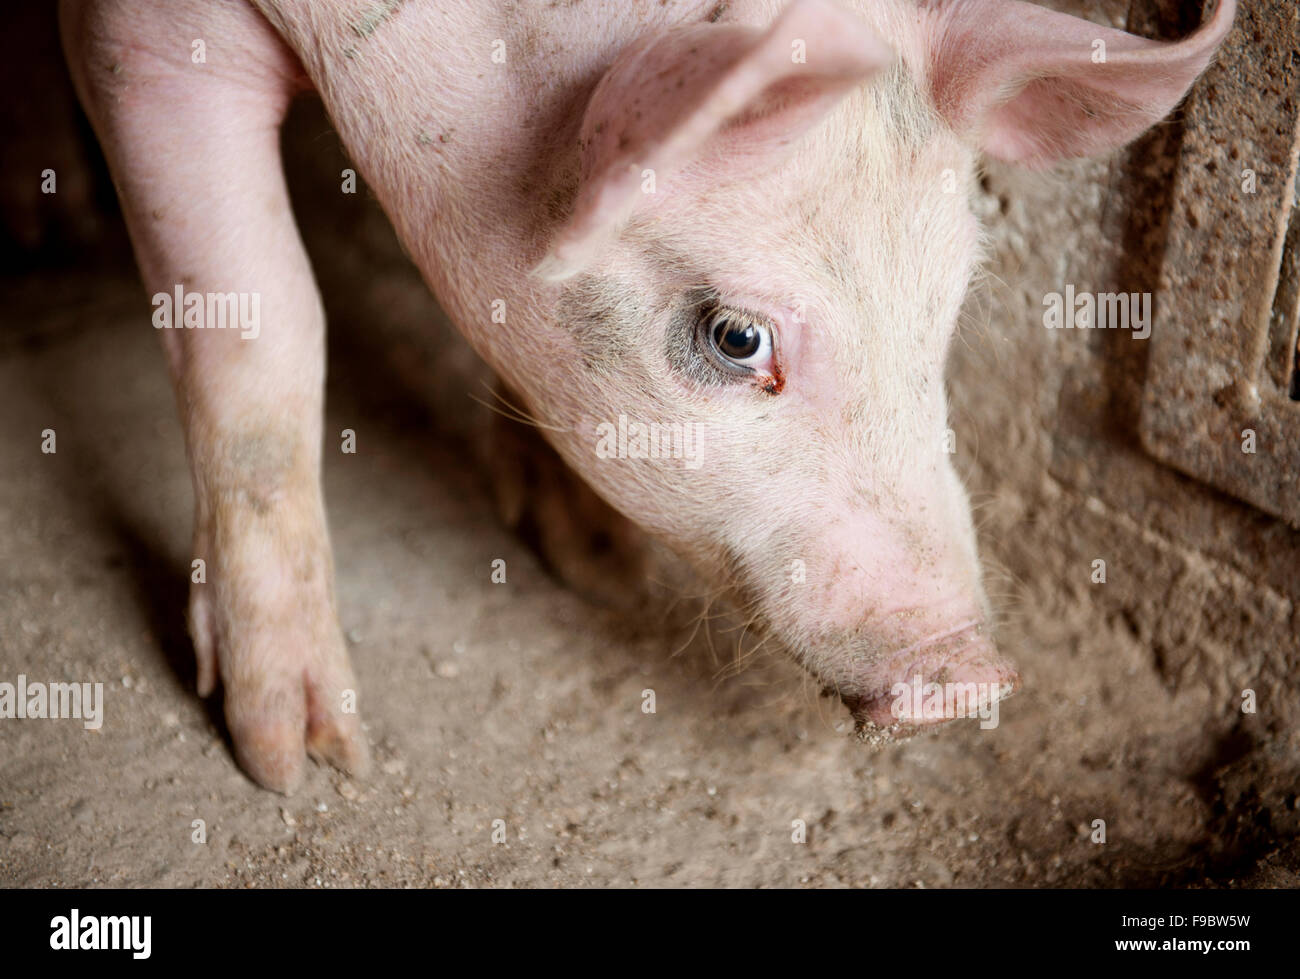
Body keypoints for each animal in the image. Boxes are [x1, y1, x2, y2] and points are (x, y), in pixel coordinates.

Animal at [58, 0, 1236, 792]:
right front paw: (303, 760)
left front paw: (596, 568)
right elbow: (260, 325)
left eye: (945, 313)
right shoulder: (146, 40)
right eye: (735, 338)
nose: (972, 675)